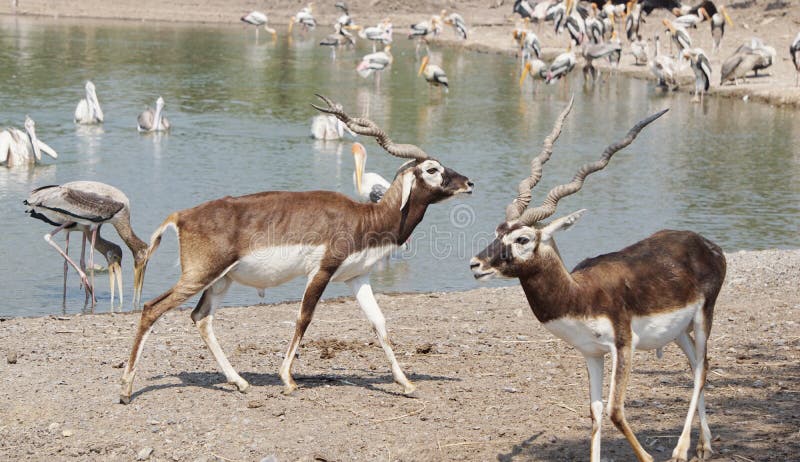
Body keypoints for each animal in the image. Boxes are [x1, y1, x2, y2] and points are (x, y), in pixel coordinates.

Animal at [119, 94, 474, 404]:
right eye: (432, 169)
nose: (469, 183)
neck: (366, 217)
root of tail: (181, 215)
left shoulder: (356, 278)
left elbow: (379, 323)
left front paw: (405, 382)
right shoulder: (322, 271)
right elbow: (304, 317)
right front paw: (288, 379)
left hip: (221, 280)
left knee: (201, 317)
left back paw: (239, 382)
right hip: (200, 275)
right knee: (151, 308)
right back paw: (126, 390)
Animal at [470, 99, 726, 462]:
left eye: (522, 239)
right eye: (497, 232)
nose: (476, 264)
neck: (579, 294)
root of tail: (706, 244)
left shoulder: (623, 346)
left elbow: (615, 411)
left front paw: (648, 457)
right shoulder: (591, 353)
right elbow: (594, 412)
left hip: (705, 316)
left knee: (702, 369)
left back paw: (680, 450)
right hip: (678, 331)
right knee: (696, 366)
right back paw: (703, 445)